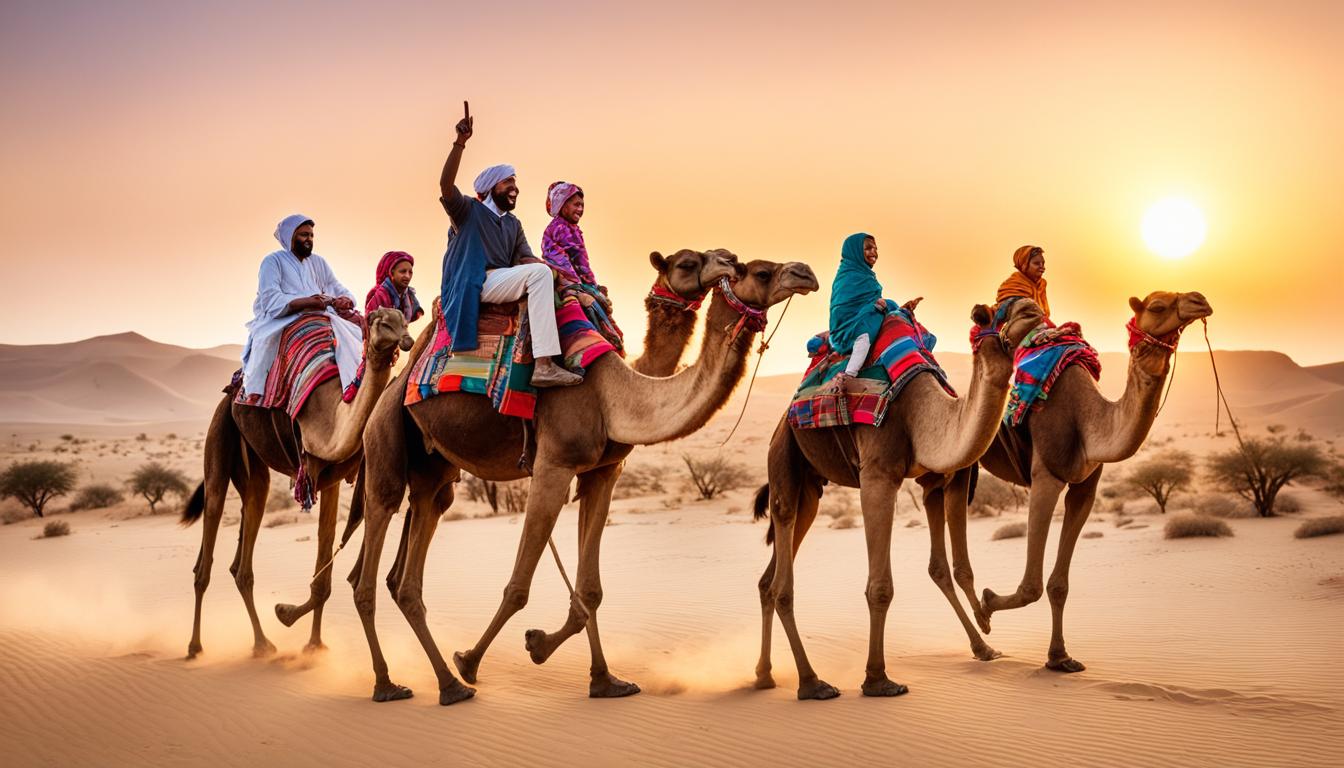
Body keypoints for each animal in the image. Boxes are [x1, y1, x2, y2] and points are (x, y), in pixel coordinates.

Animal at [180, 307, 413, 659]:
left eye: (404, 320)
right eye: (382, 322)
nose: (407, 340)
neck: (332, 416)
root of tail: (231, 395)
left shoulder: (330, 480)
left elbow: (324, 568)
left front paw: (314, 644)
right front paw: (293, 622)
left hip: (254, 471)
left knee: (243, 557)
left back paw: (262, 643)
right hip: (220, 435)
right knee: (209, 540)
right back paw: (195, 646)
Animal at [351, 255, 818, 705]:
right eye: (759, 270)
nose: (806, 272)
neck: (614, 395)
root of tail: (394, 386)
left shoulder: (601, 474)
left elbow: (590, 589)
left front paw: (600, 677)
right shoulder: (552, 467)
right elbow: (518, 587)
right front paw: (474, 659)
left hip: (434, 475)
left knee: (409, 572)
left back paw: (446, 685)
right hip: (385, 444)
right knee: (373, 553)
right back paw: (393, 684)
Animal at [751, 299, 1045, 699]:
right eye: (996, 312)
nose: (1032, 309)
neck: (923, 414)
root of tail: (783, 423)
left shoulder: (939, 480)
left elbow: (948, 568)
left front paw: (984, 640)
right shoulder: (877, 476)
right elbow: (880, 587)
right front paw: (878, 679)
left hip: (809, 489)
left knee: (770, 577)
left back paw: (764, 675)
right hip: (783, 459)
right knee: (782, 572)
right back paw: (812, 683)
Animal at [955, 291, 1213, 672]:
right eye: (1157, 305)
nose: (1200, 300)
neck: (1090, 420)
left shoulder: (1085, 488)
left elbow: (1058, 584)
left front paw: (1060, 657)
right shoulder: (1046, 476)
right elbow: (1032, 586)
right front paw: (989, 602)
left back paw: (981, 640)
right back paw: (982, 632)